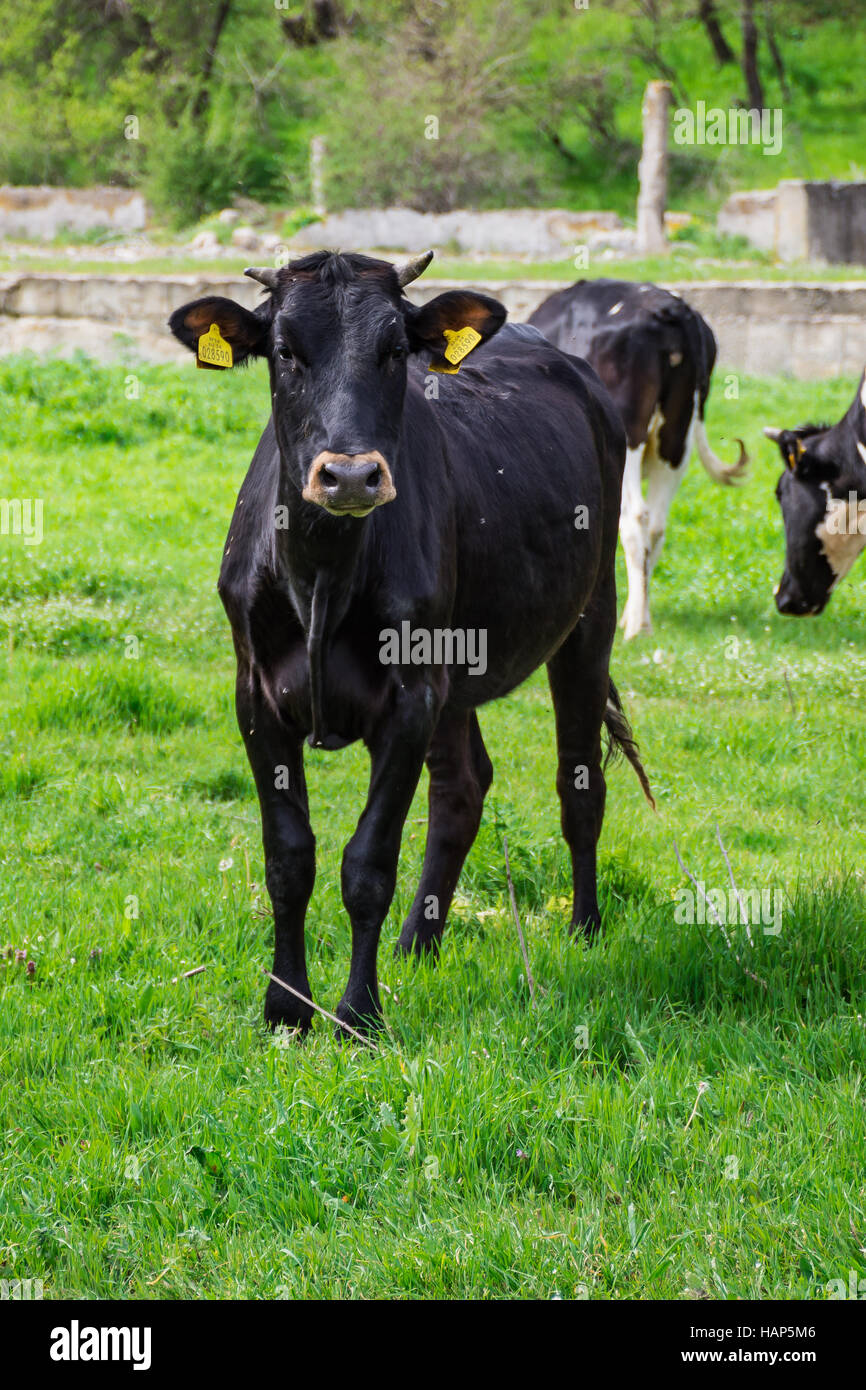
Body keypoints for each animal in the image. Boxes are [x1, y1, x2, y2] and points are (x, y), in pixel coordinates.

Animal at [168, 250, 652, 1038]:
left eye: (395, 350)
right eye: (284, 351)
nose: (350, 474)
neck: (324, 573)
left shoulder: (408, 700)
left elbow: (368, 862)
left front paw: (357, 1015)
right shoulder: (256, 696)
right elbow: (288, 857)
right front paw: (286, 1007)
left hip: (590, 616)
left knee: (580, 782)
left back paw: (584, 928)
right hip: (457, 673)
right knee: (463, 789)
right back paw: (417, 945)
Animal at [528, 278, 747, 639]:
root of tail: (670, 309)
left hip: (630, 434)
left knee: (635, 519)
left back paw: (637, 627)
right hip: (676, 440)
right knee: (656, 525)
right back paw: (636, 615)